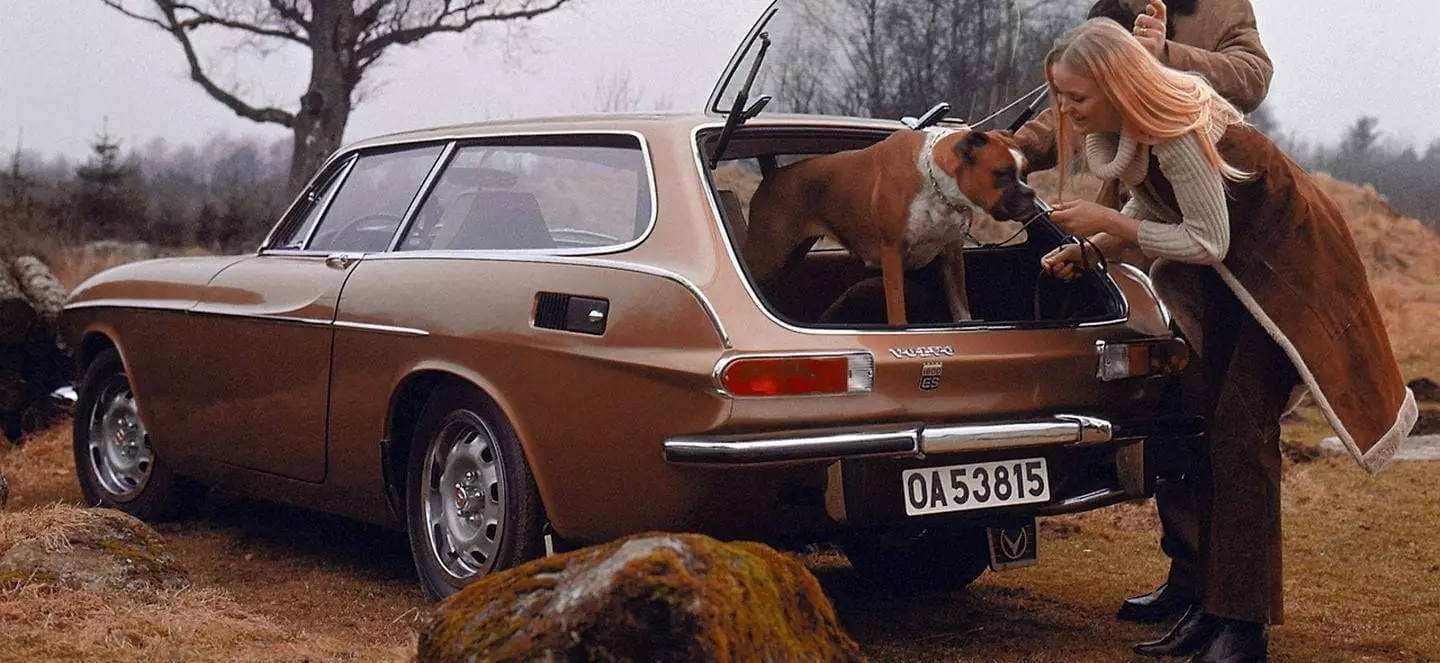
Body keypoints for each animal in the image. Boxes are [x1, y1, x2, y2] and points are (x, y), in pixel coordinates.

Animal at [737, 125, 1042, 325]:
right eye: (1002, 174)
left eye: (1026, 172)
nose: (1030, 194)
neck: (938, 185)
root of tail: (774, 174)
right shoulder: (892, 253)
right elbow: (897, 310)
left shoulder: (951, 254)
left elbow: (960, 307)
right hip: (768, 255)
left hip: (788, 256)